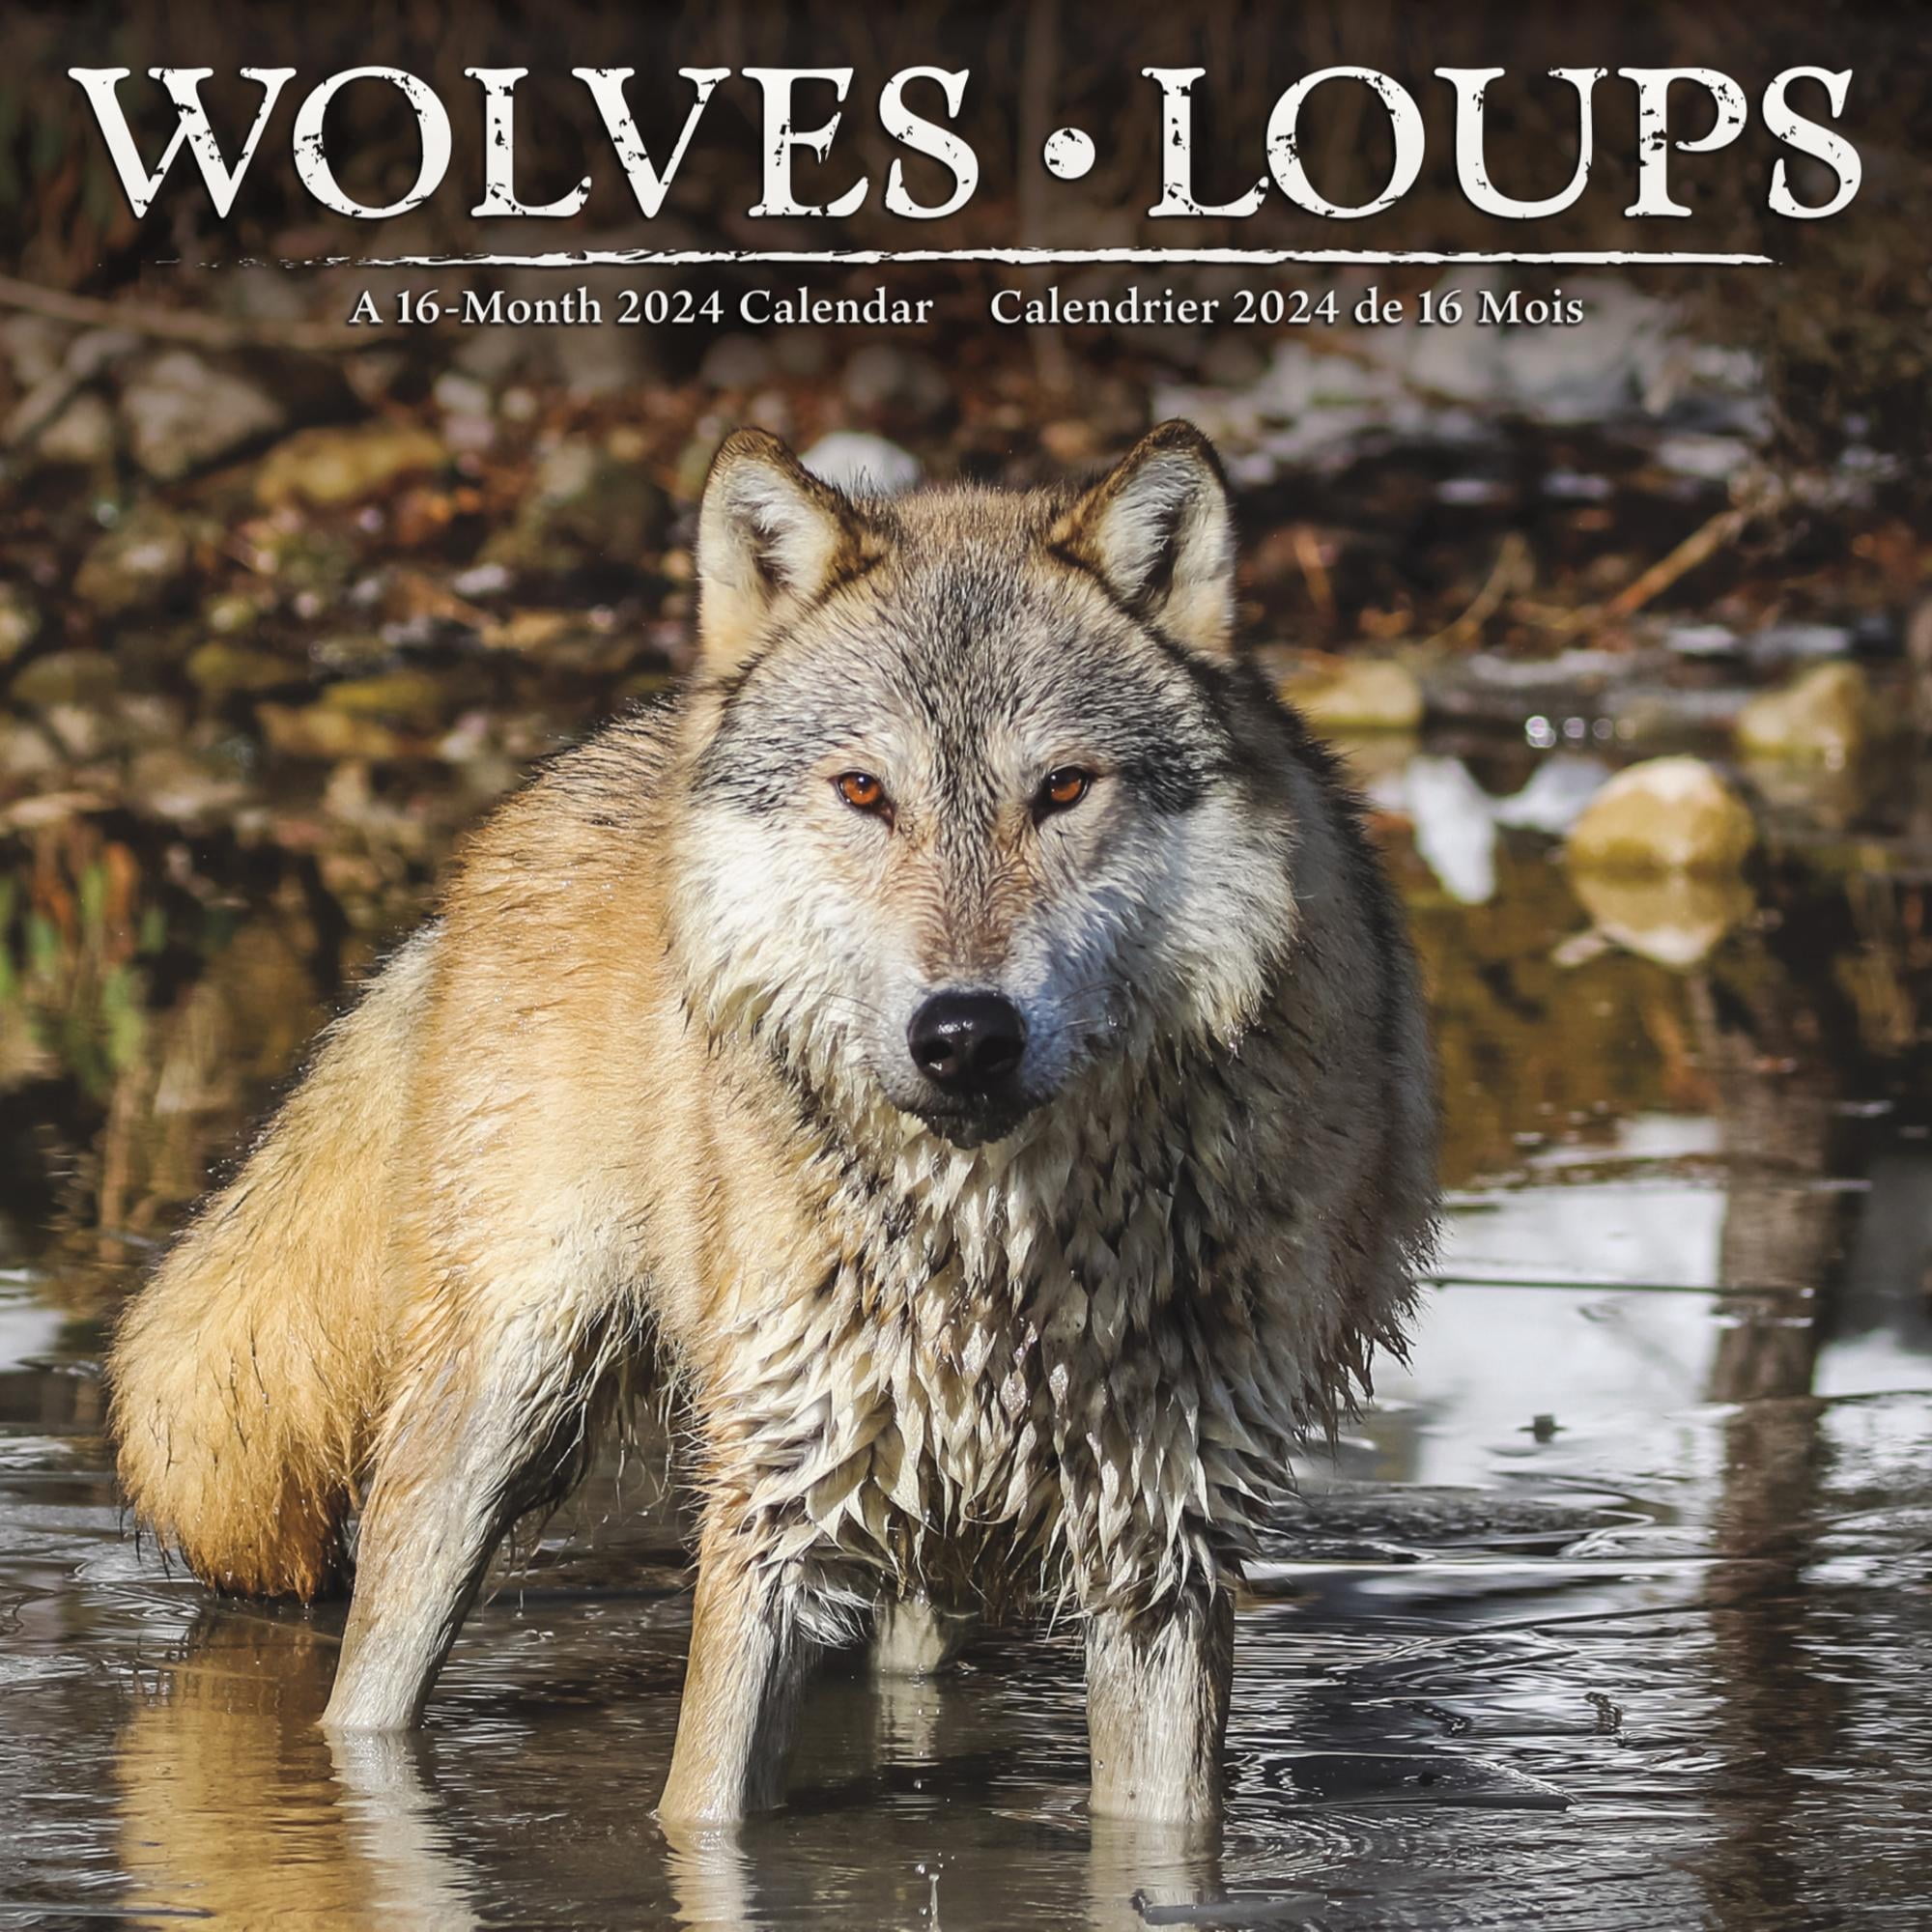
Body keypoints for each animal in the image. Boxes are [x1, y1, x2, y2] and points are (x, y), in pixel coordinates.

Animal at [110, 421, 1437, 1824]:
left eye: (1065, 787)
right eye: (862, 790)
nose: (964, 1033)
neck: (995, 1251)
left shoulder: (1163, 1549)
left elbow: (1161, 1829)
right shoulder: (774, 1520)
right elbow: (701, 1812)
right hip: (497, 1421)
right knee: (365, 1691)